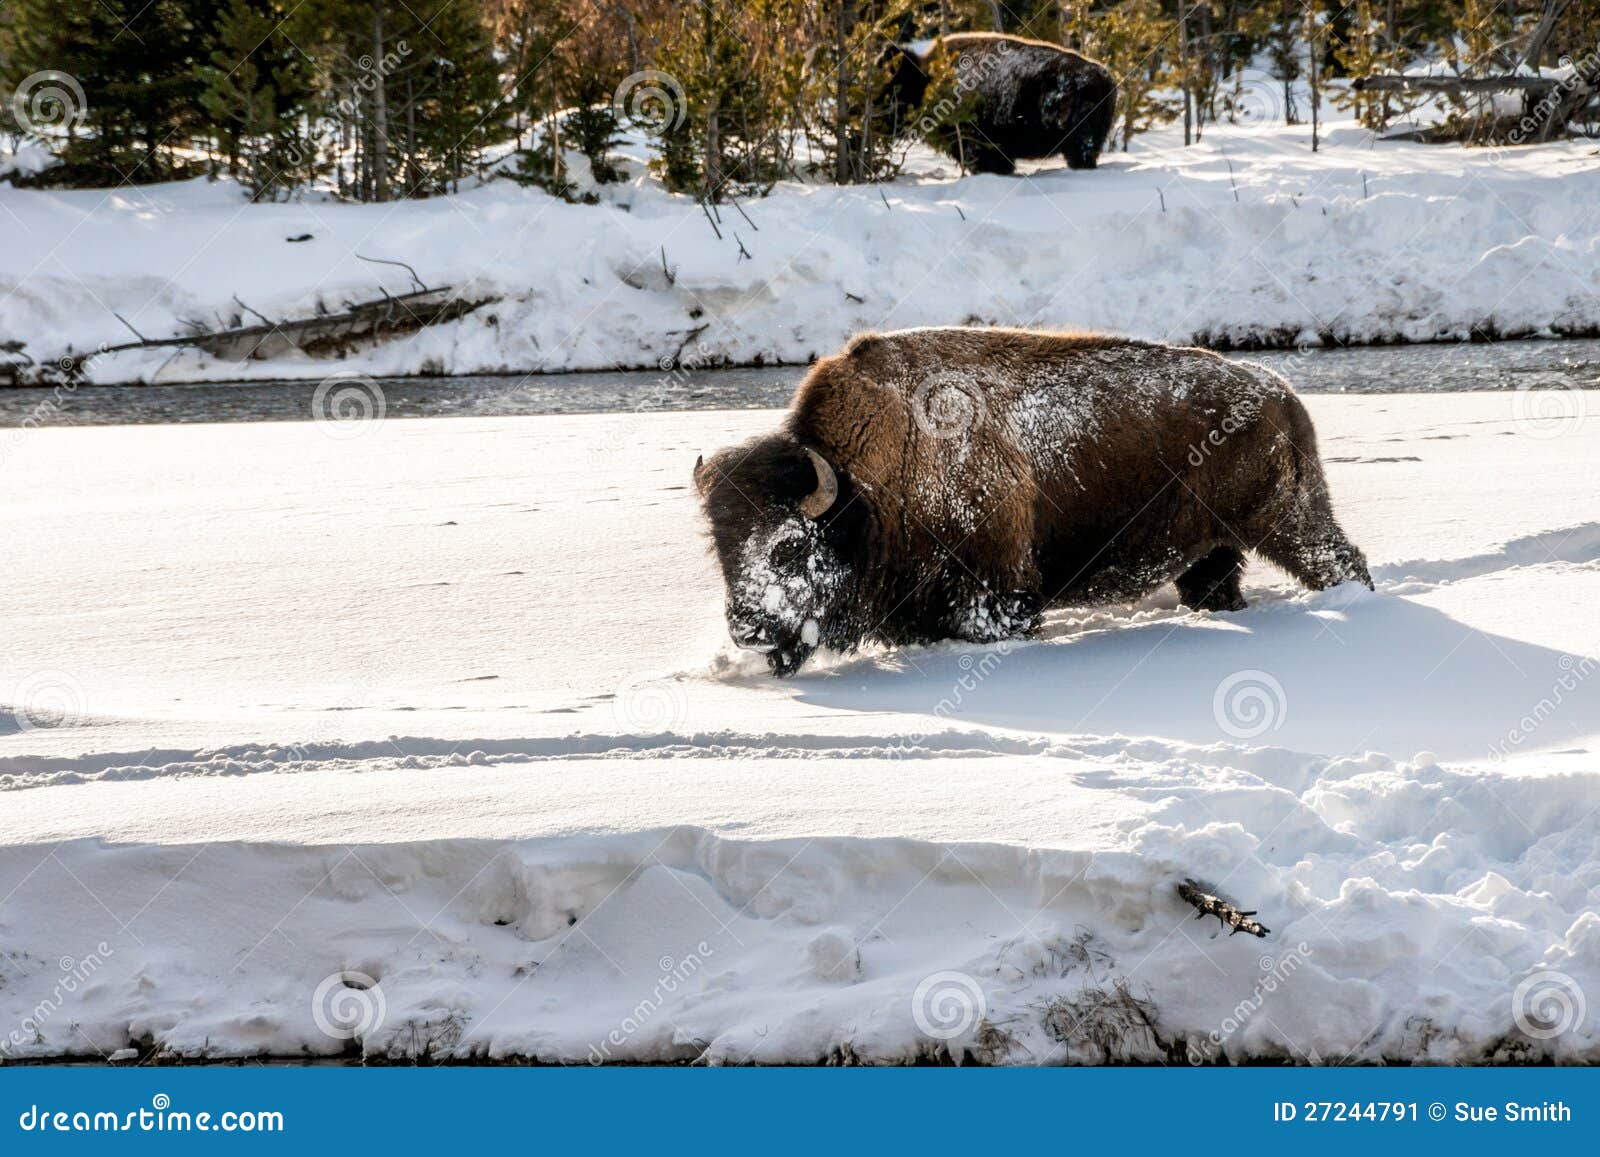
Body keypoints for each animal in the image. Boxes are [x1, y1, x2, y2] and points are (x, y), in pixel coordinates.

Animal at [694, 328, 1371, 676]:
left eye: (787, 548)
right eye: (721, 555)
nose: (746, 629)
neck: (866, 483)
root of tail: (1281, 393)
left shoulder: (995, 594)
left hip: (1285, 520)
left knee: (1341, 563)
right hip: (1211, 553)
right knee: (1222, 587)